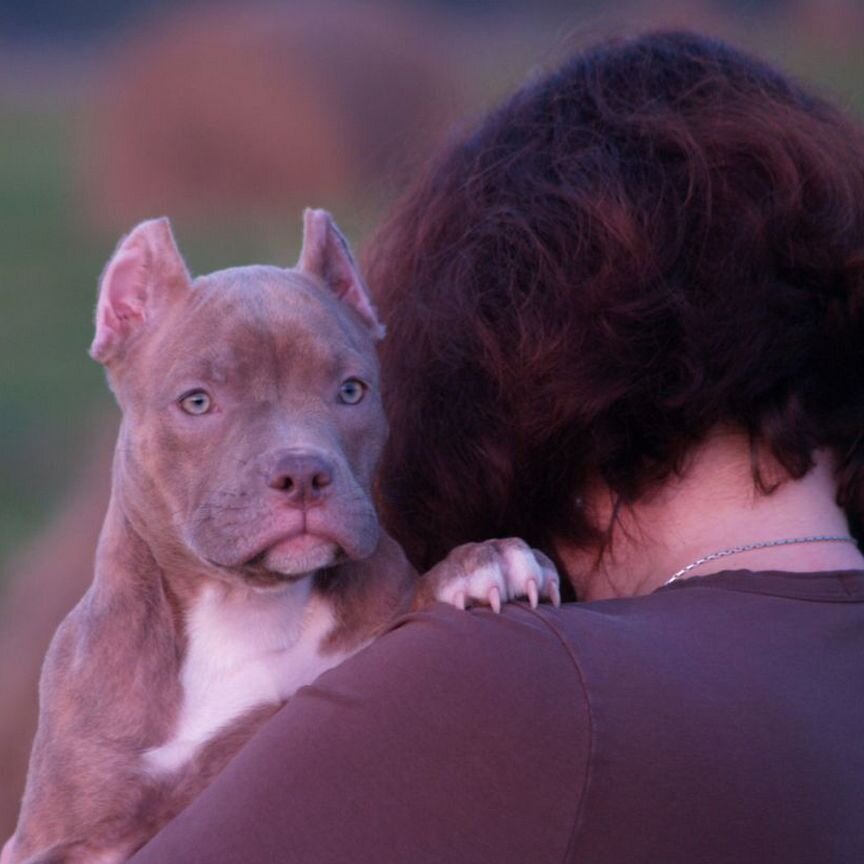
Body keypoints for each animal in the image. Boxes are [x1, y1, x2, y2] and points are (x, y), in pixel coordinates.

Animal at [5, 211, 560, 864]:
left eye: (352, 390)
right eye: (198, 402)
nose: (303, 474)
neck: (248, 605)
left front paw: (484, 562)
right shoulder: (66, 835)